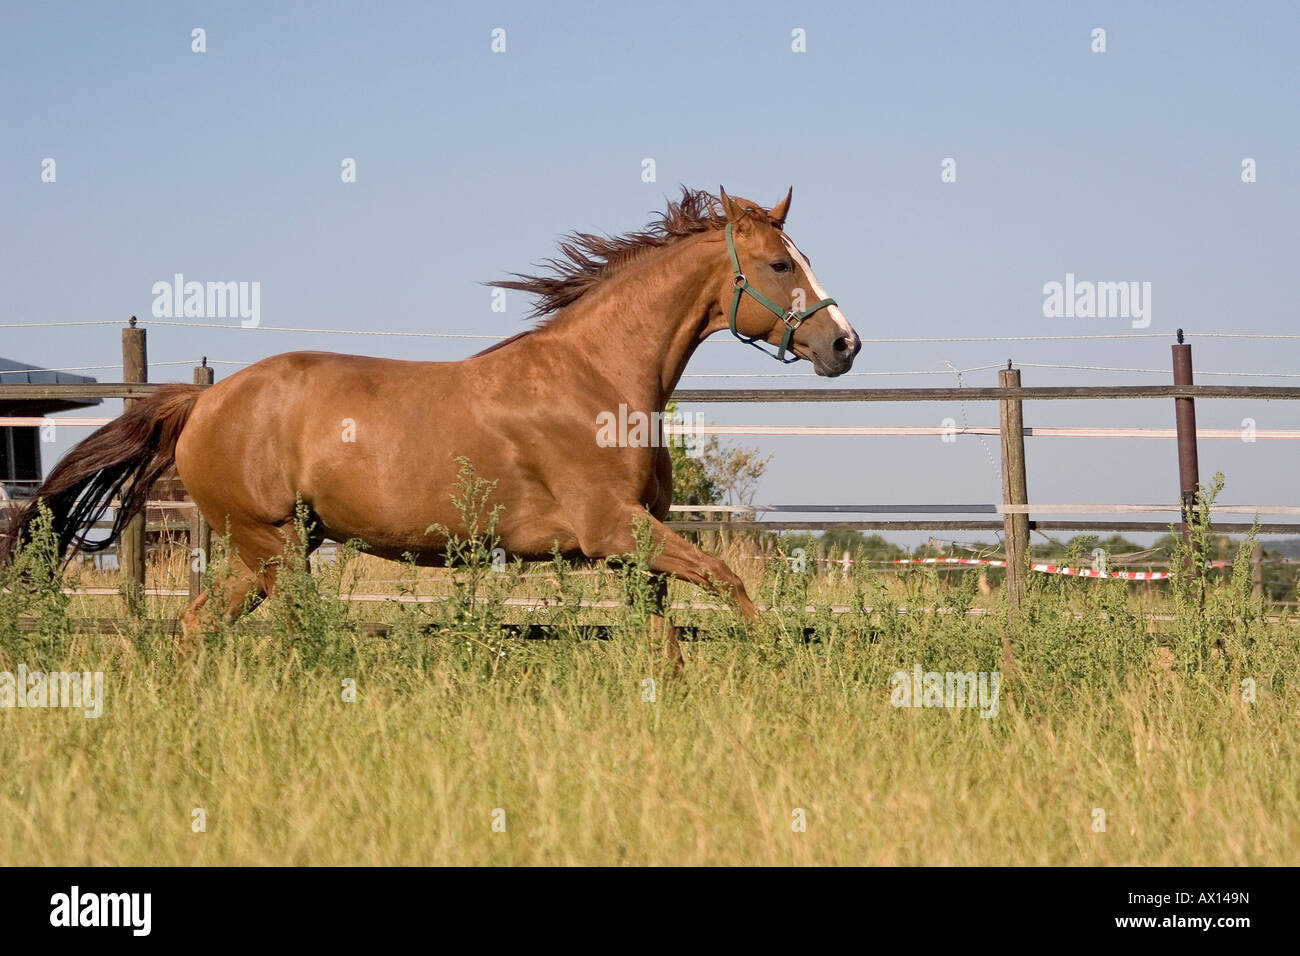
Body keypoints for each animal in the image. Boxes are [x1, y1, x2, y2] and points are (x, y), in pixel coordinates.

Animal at [1, 187, 861, 661]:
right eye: (780, 264)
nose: (844, 344)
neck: (599, 379)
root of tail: (201, 403)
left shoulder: (635, 546)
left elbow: (668, 638)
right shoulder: (612, 530)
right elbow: (729, 581)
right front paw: (775, 659)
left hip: (270, 549)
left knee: (199, 626)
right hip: (268, 544)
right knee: (275, 628)